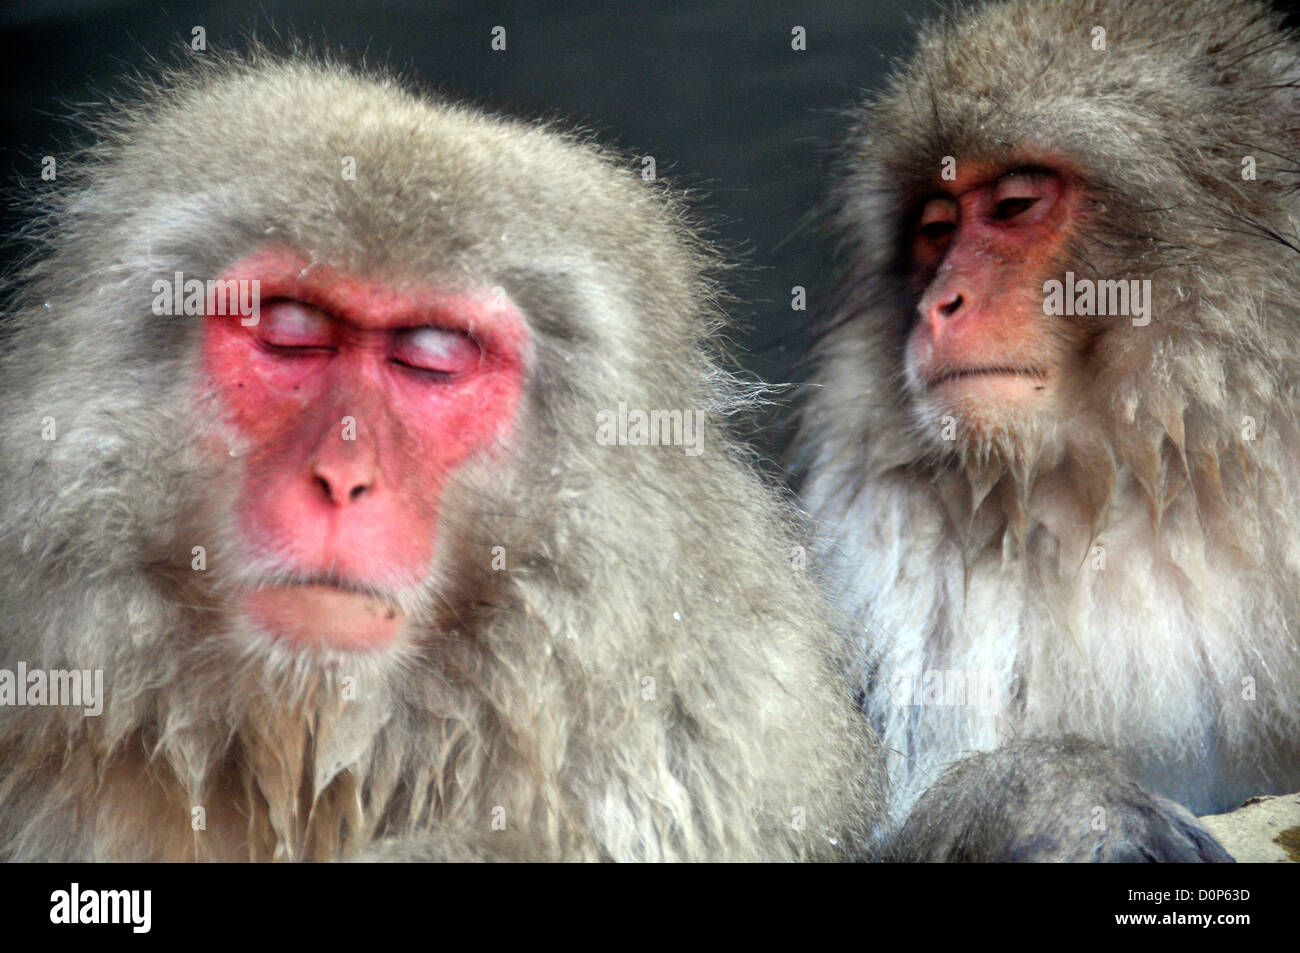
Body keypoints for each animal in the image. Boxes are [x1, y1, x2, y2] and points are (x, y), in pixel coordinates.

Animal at [793, 0, 1300, 861]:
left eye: (1014, 207)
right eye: (937, 228)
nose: (938, 304)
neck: (1144, 465)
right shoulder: (881, 533)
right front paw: (1070, 803)